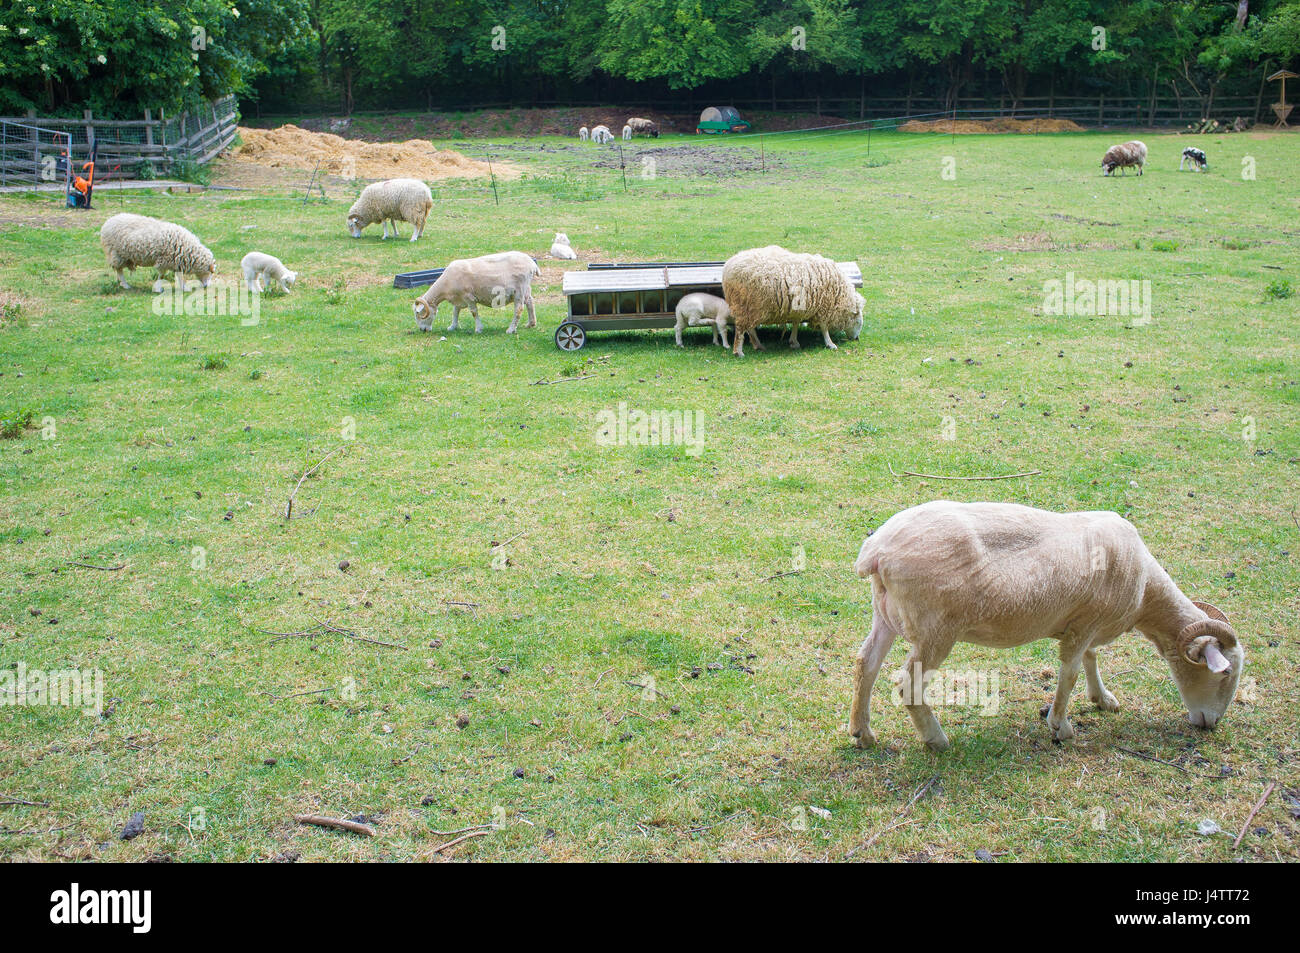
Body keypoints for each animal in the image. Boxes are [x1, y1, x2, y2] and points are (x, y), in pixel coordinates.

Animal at [411, 251, 540, 334]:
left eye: (418, 314)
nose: (422, 330)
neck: (446, 286)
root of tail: (532, 264)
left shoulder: (469, 297)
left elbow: (473, 312)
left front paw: (478, 329)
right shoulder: (459, 298)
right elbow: (455, 312)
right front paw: (452, 327)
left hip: (519, 290)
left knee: (519, 309)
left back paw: (511, 329)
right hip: (526, 288)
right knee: (530, 302)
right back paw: (531, 324)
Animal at [720, 245, 864, 357]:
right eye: (858, 321)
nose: (856, 339)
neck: (838, 294)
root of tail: (728, 267)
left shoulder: (801, 306)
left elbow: (796, 322)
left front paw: (793, 341)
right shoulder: (822, 306)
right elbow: (824, 327)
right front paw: (830, 343)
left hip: (750, 307)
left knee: (749, 328)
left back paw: (758, 345)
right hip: (746, 303)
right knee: (741, 329)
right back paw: (739, 352)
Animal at [849, 501, 1245, 751]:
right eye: (1225, 674)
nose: (1210, 723)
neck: (1146, 592)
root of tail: (876, 553)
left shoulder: (1087, 623)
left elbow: (1091, 659)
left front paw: (1103, 699)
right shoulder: (1085, 623)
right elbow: (1070, 672)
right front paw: (1060, 727)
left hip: (885, 615)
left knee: (866, 663)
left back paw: (862, 732)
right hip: (936, 629)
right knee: (908, 683)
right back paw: (935, 739)